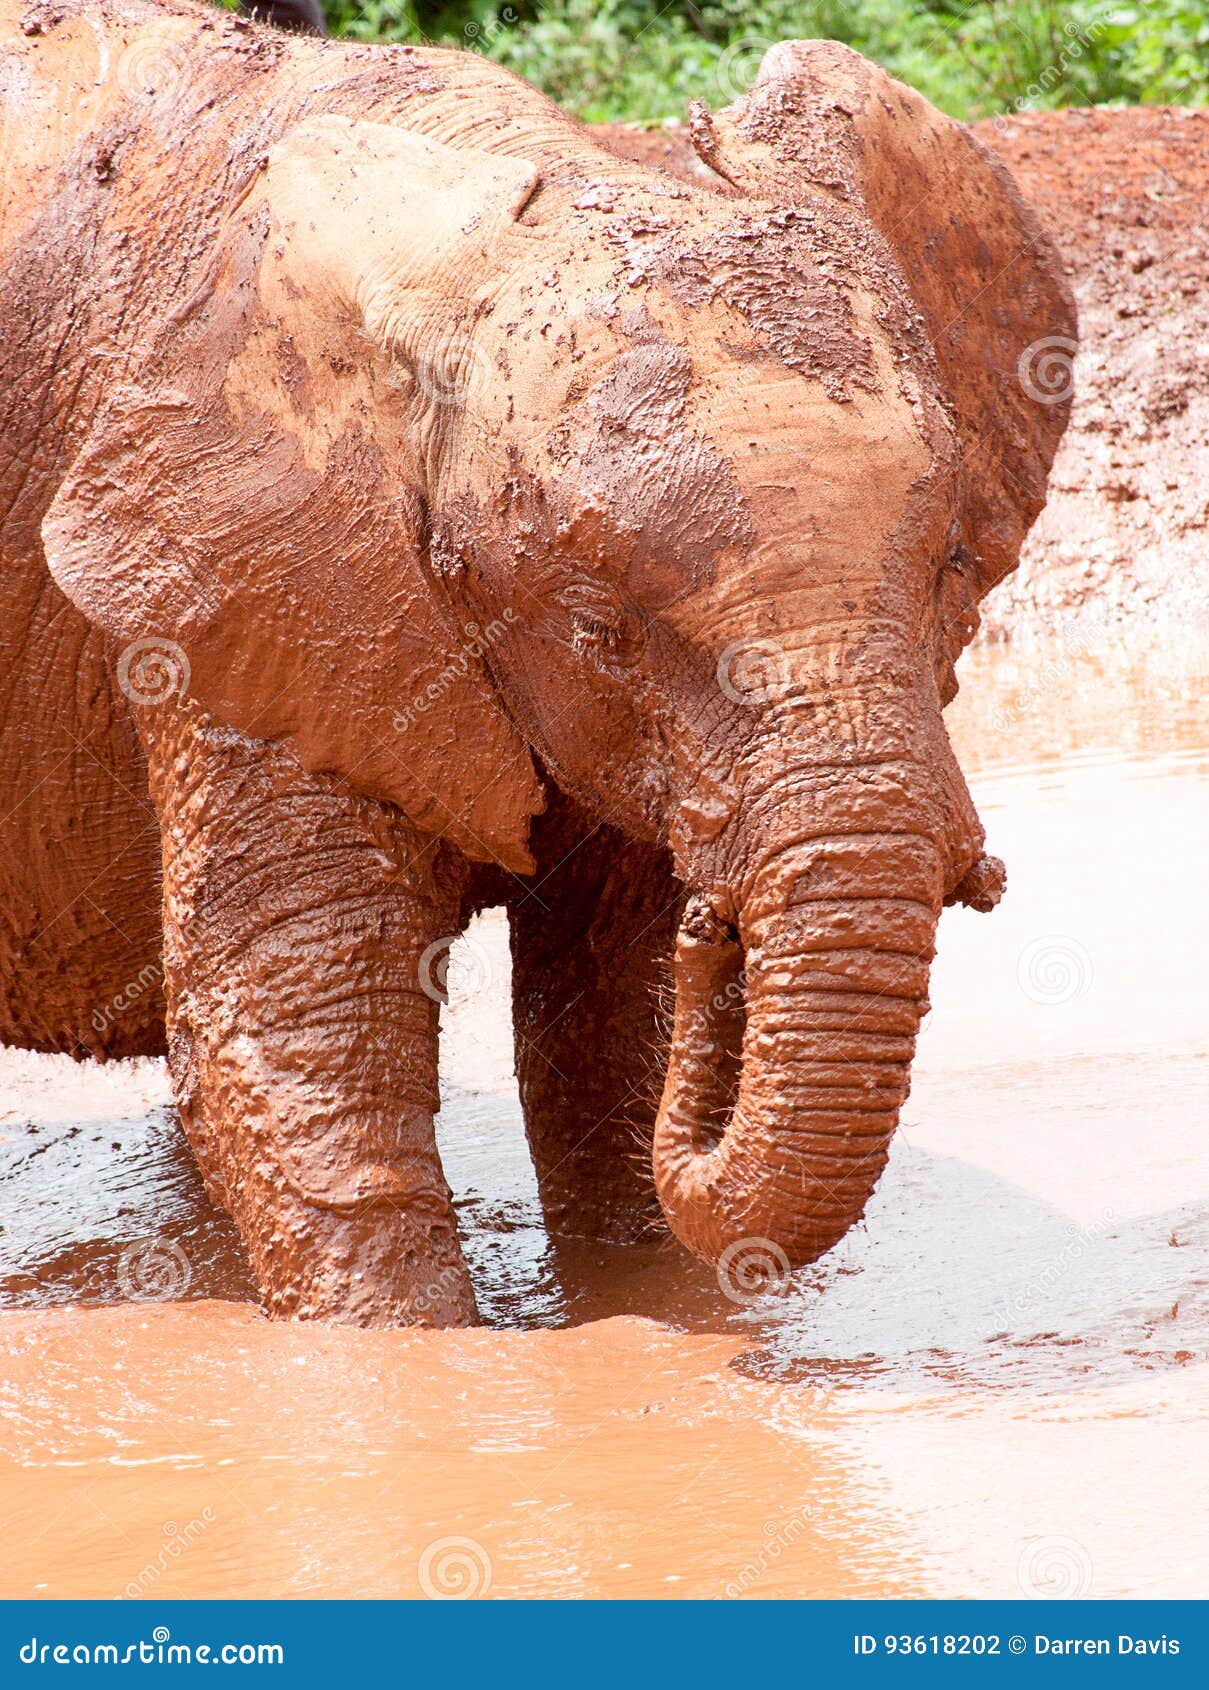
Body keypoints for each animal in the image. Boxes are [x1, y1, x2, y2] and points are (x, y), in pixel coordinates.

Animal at [0, 0, 1074, 1325]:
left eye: (952, 574)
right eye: (599, 626)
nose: (716, 925)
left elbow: (603, 1022)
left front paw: (657, 1308)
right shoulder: (231, 565)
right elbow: (300, 1020)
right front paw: (406, 1353)